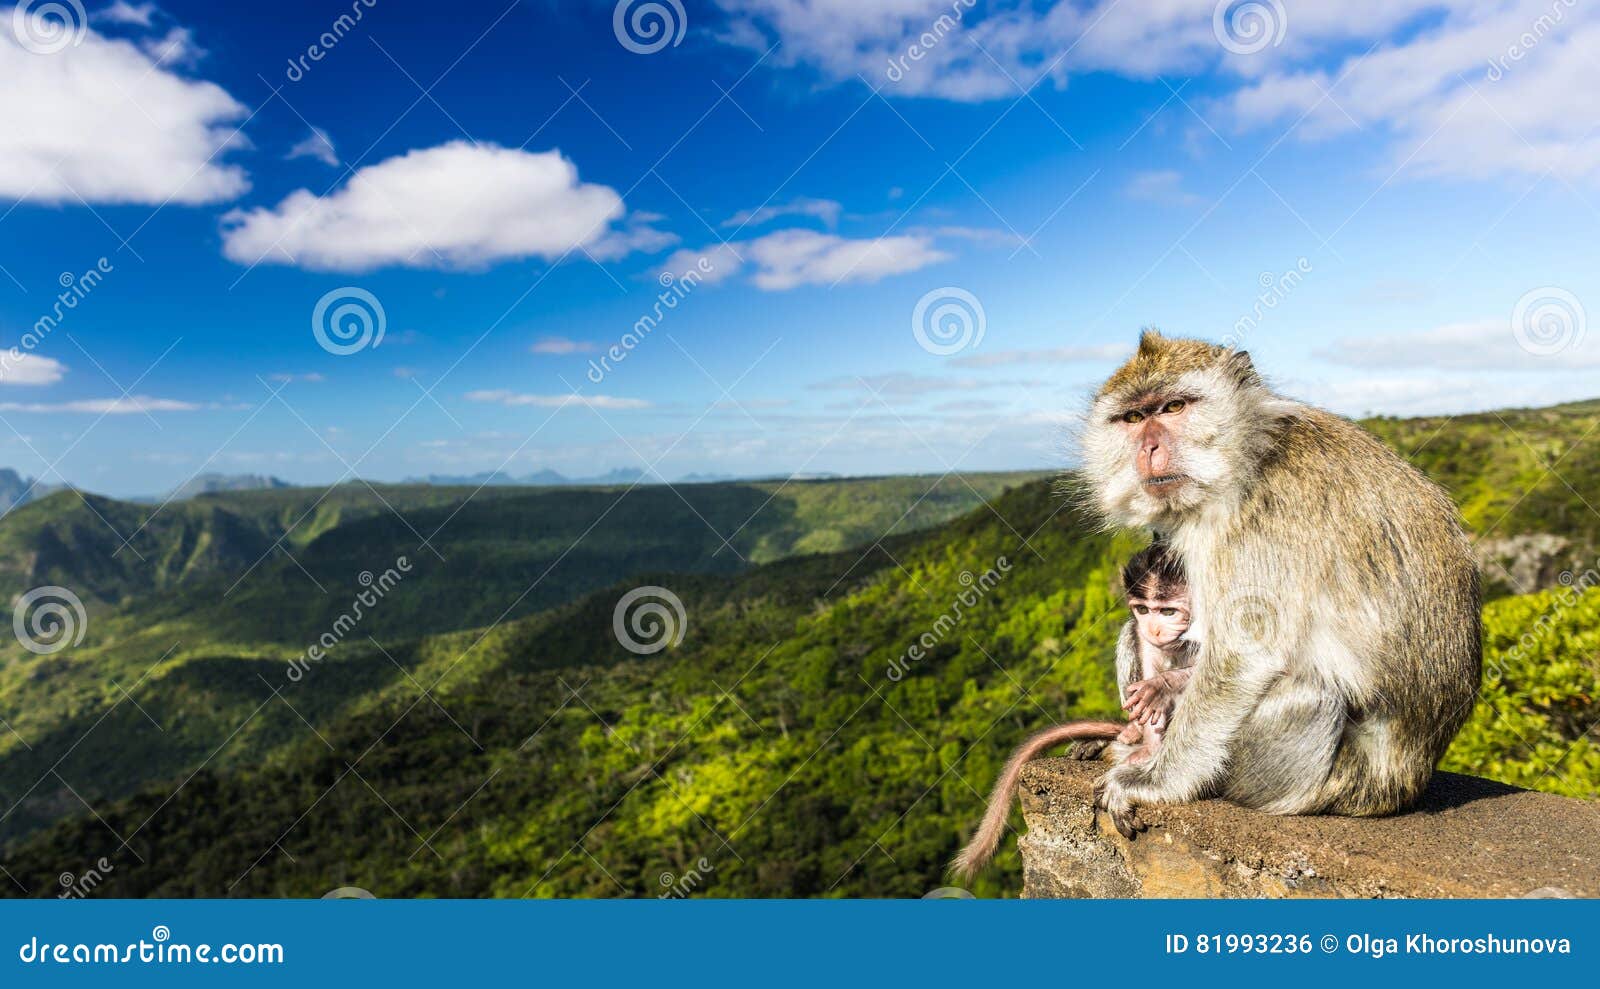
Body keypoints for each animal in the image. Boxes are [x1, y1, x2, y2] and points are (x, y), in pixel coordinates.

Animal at [953, 544, 1196, 876]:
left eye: (1169, 611)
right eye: (1144, 609)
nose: (1155, 628)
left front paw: (1162, 687)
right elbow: (1144, 645)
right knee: (1130, 632)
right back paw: (1134, 738)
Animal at [1081, 329, 1478, 832]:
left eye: (1173, 407)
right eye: (1133, 417)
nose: (1148, 450)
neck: (1249, 454)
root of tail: (1401, 788)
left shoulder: (1261, 520)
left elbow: (1241, 656)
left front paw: (1153, 782)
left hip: (1312, 785)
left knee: (1310, 692)